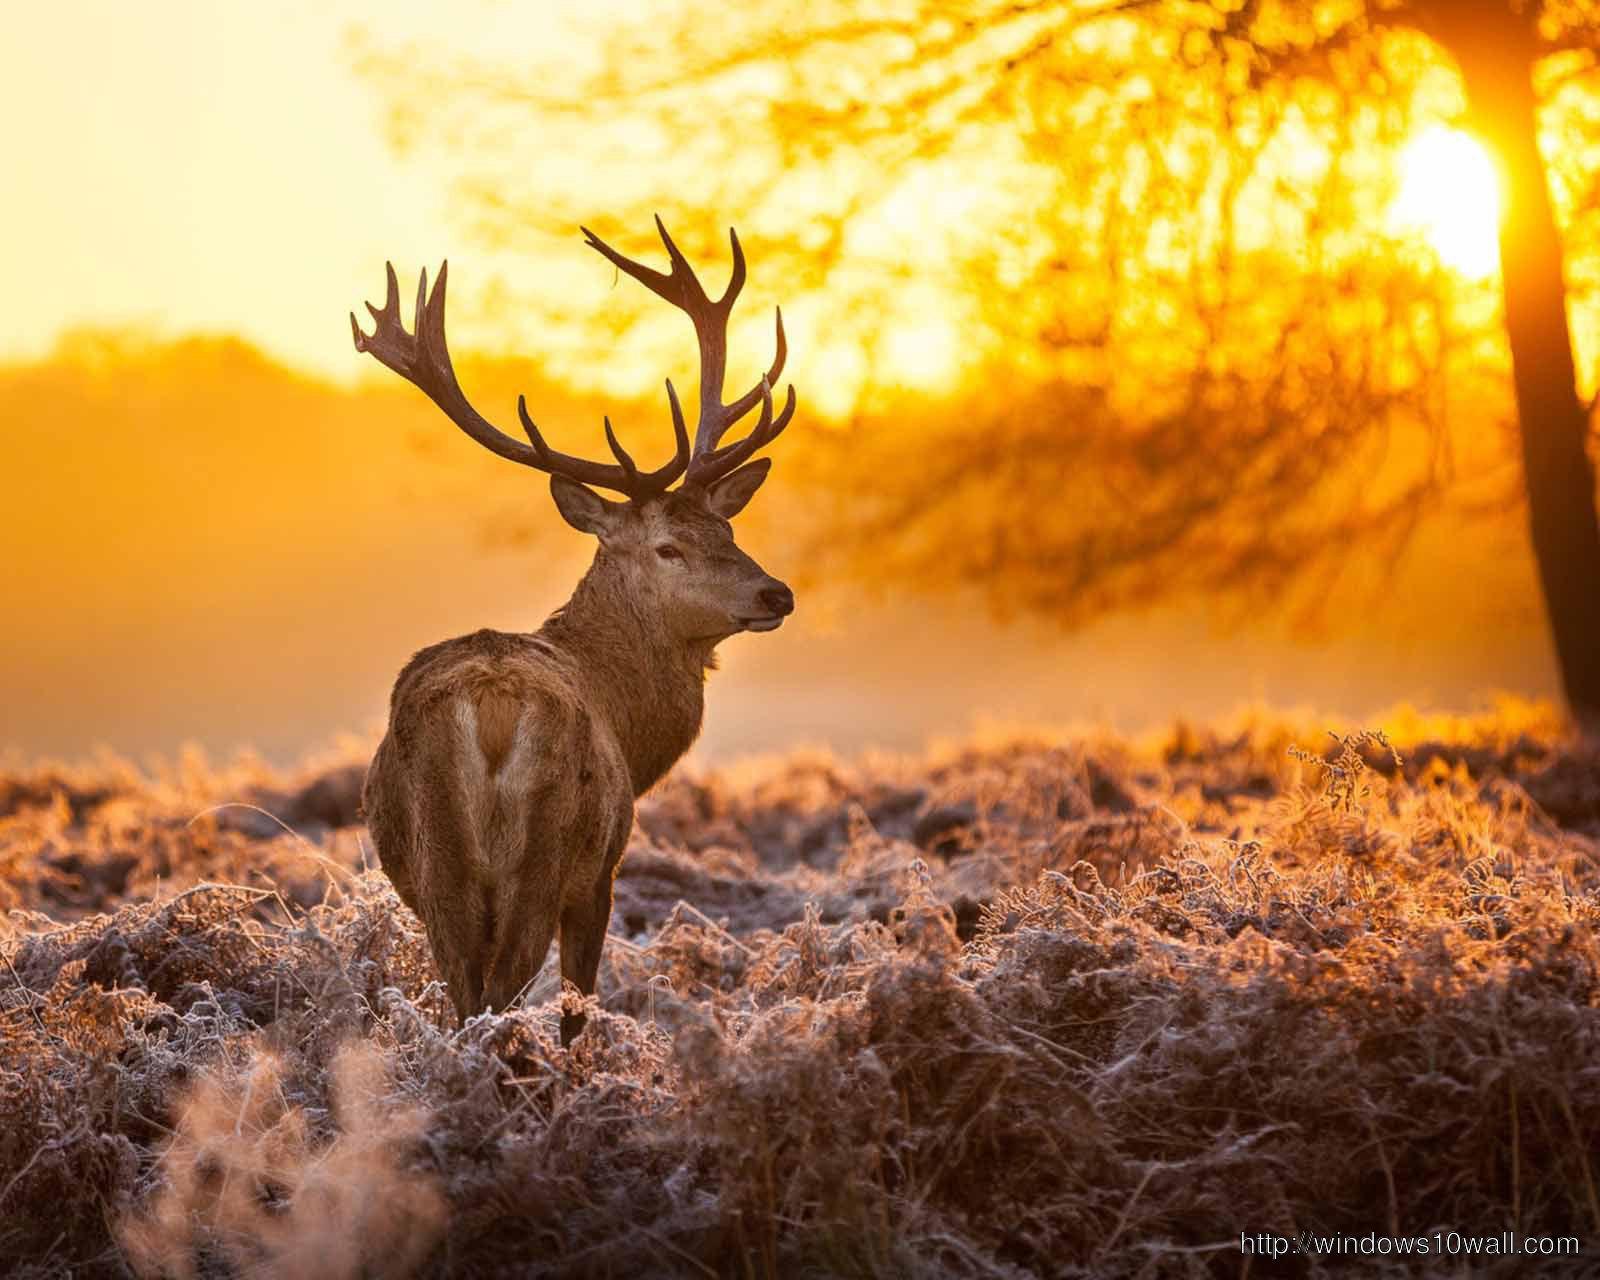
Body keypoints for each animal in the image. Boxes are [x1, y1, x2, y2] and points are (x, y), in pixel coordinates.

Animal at [350, 219, 797, 1045]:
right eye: (668, 547)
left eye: (727, 527)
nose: (775, 592)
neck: (630, 725)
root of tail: (491, 709)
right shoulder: (602, 871)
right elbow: (577, 1007)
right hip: (546, 853)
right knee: (502, 994)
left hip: (438, 866)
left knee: (465, 993)